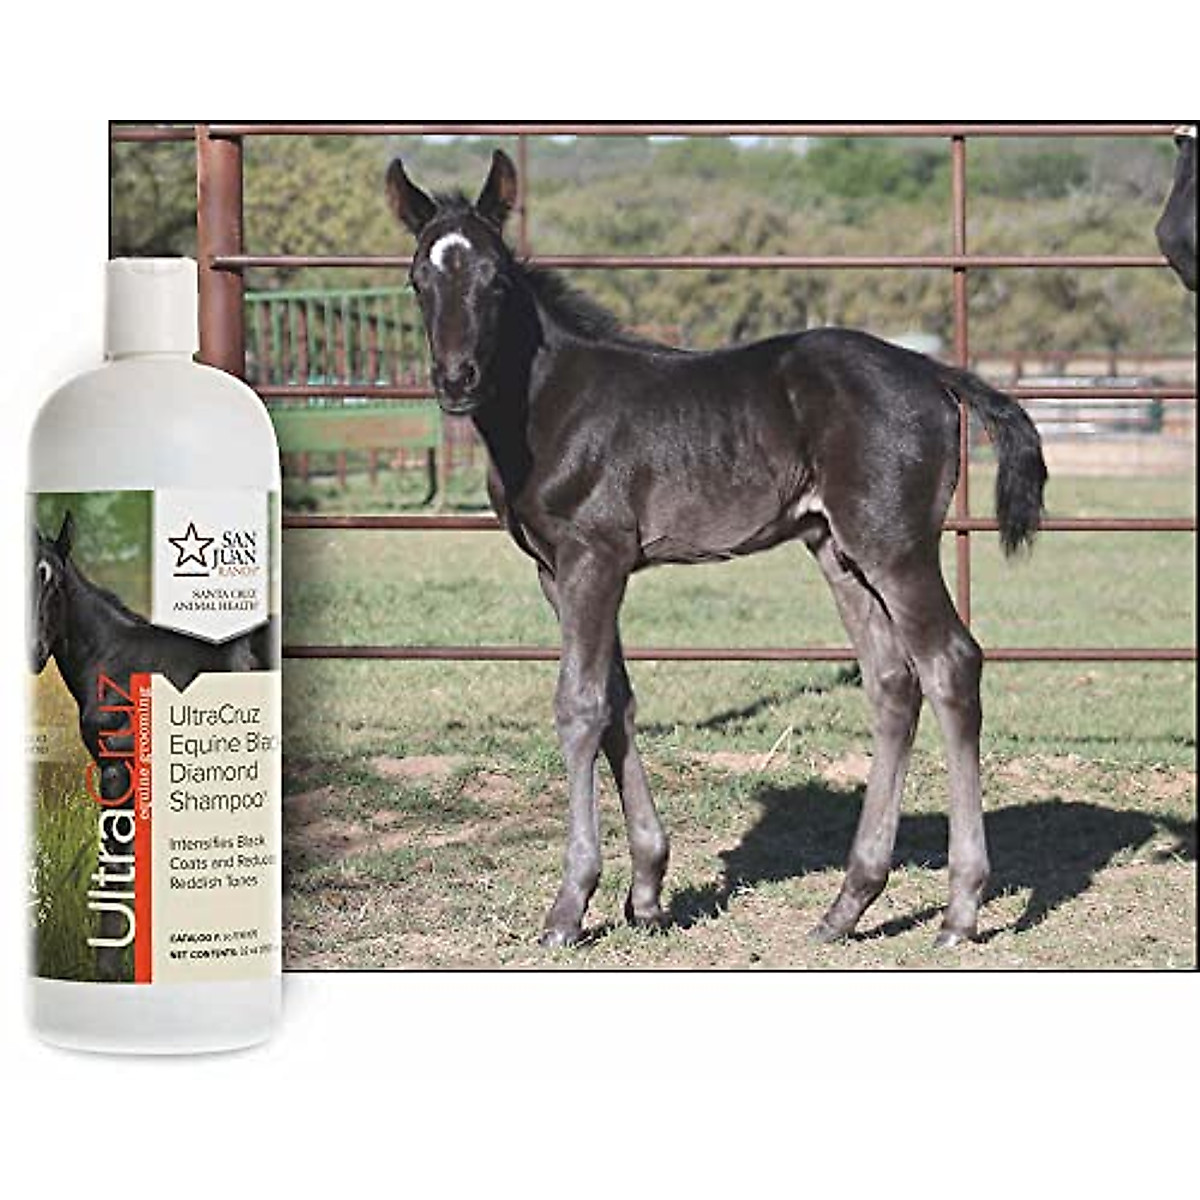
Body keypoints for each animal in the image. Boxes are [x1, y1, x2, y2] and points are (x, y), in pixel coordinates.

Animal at [30, 512, 276, 979]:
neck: (110, 659)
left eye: (53, 581)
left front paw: (109, 967)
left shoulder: (116, 772)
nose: (31, 652)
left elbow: (116, 868)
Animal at [385, 150, 1048, 951]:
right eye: (419, 279)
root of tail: (933, 373)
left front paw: (570, 904)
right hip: (838, 549)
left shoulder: (592, 558)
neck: (548, 408)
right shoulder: (556, 571)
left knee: (950, 665)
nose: (456, 380)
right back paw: (847, 905)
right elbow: (617, 702)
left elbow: (579, 705)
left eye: (496, 280)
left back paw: (960, 910)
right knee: (893, 681)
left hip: (895, 545)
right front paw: (646, 892)